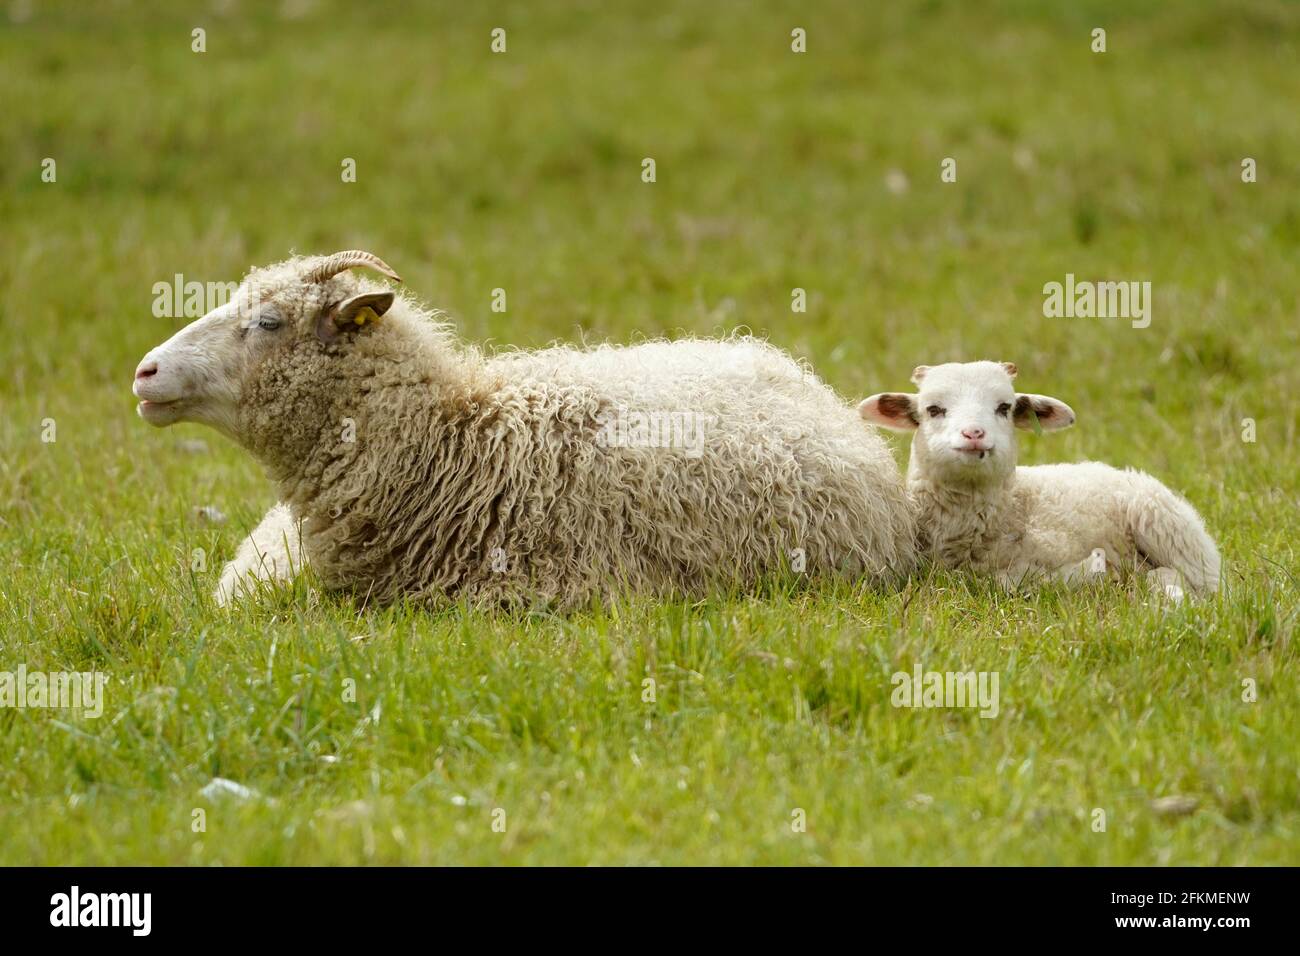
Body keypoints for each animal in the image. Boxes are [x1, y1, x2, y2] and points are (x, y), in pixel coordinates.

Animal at [858, 361, 1221, 600]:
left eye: (1004, 407)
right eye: (933, 409)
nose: (974, 434)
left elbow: (1014, 581)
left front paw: (1091, 572)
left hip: (1168, 529)